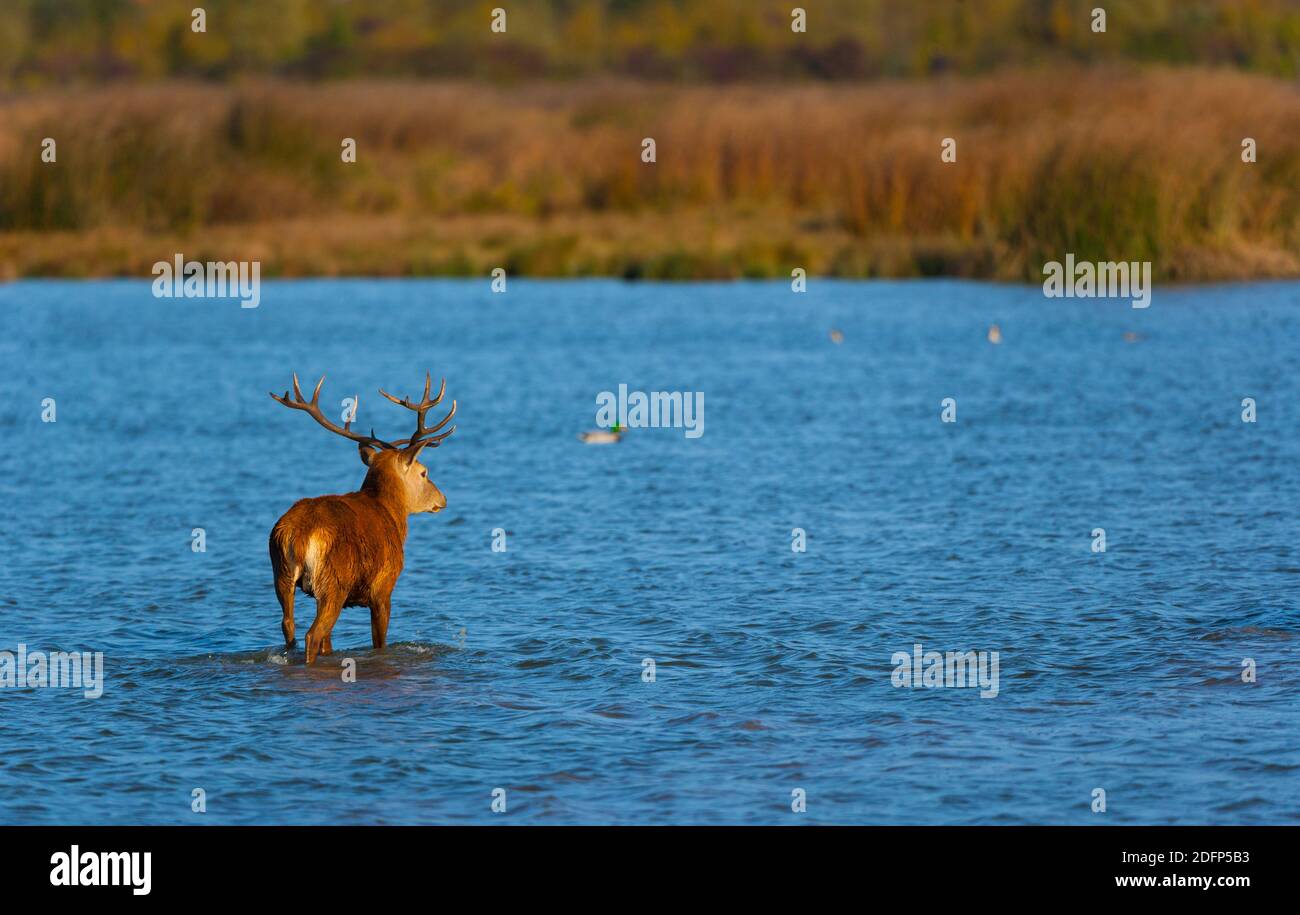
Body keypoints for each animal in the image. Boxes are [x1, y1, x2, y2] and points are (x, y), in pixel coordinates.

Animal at [267, 371, 456, 665]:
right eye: (424, 472)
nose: (443, 498)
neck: (391, 513)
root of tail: (297, 535)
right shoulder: (384, 586)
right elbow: (380, 643)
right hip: (334, 583)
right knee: (313, 634)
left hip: (282, 575)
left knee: (289, 626)